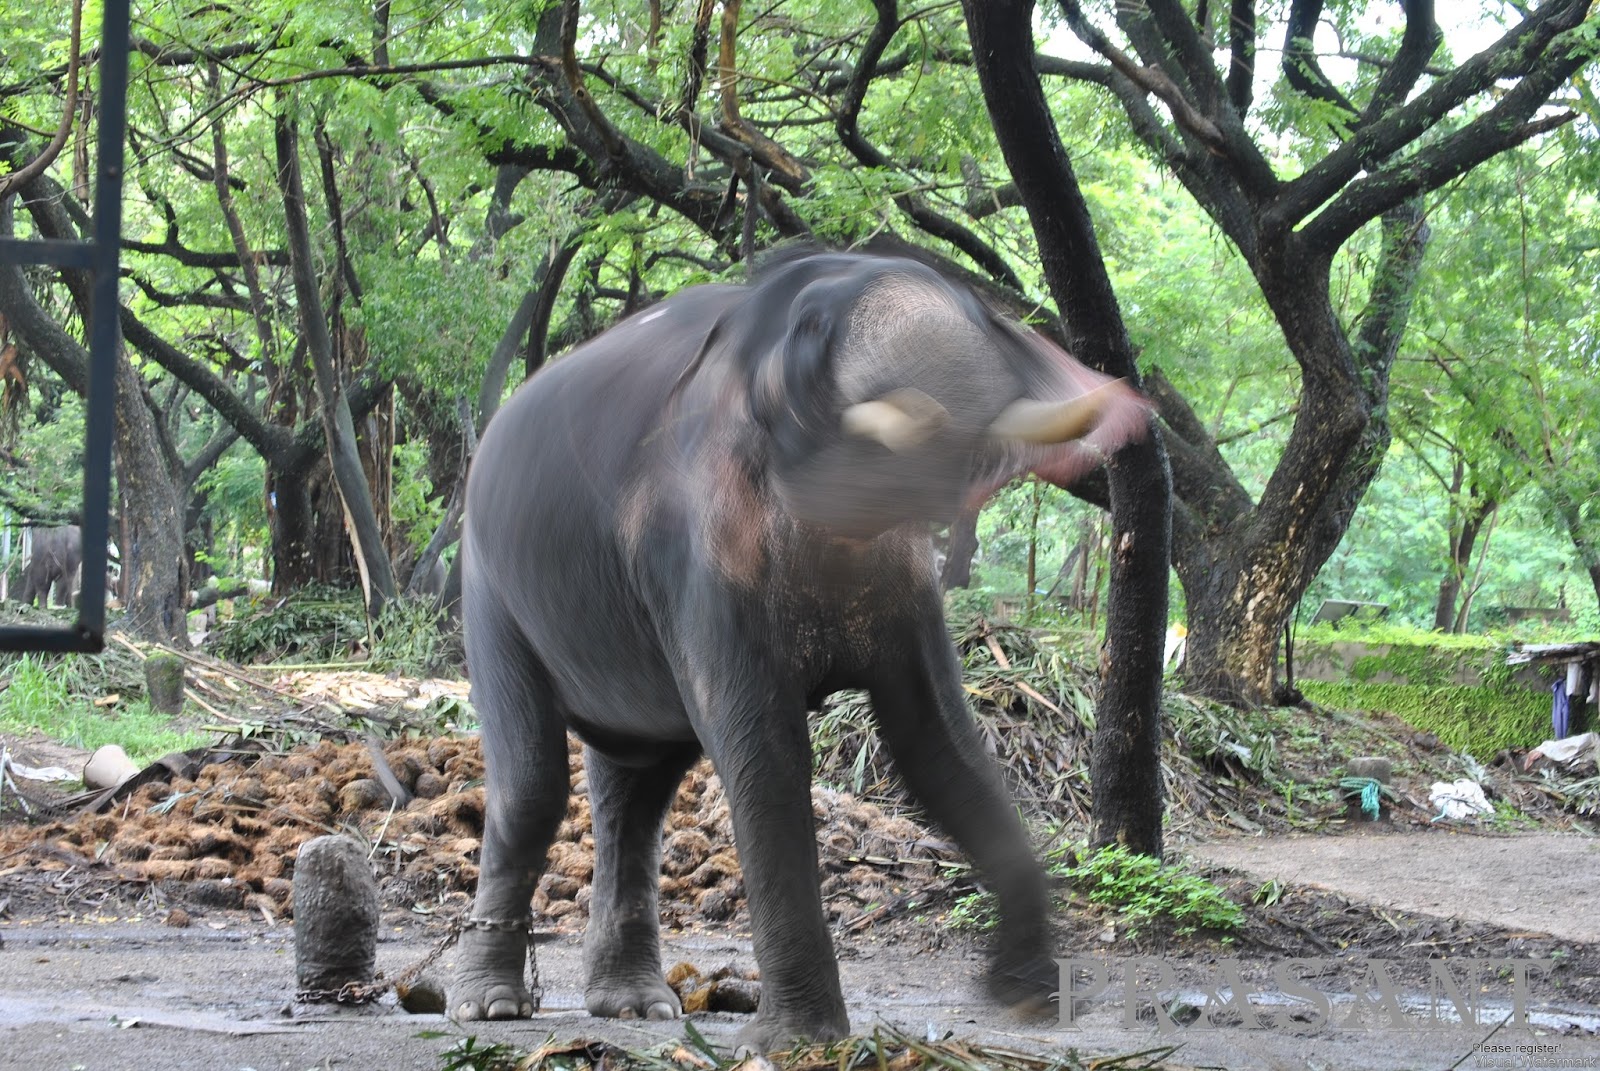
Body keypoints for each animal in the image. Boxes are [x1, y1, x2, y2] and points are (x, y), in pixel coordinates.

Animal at [450, 249, 1151, 1050]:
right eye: (812, 331)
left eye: (982, 310)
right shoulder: (696, 546)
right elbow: (763, 745)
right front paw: (796, 1043)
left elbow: (939, 741)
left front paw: (1028, 1000)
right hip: (488, 589)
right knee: (535, 780)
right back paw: (492, 1008)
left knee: (638, 786)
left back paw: (635, 1006)